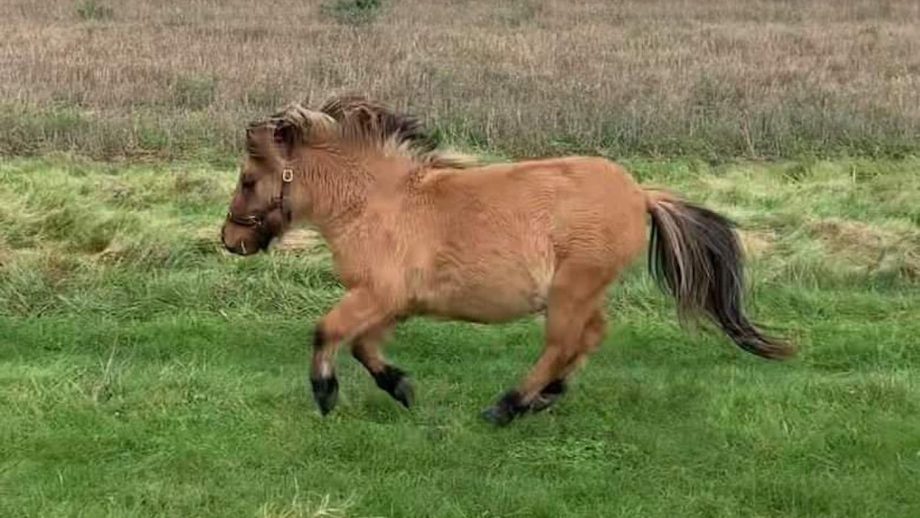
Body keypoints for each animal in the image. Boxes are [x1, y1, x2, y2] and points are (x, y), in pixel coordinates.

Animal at [220, 94, 793, 426]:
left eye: (249, 179)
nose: (229, 239)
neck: (378, 202)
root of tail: (641, 194)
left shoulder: (378, 294)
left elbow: (328, 331)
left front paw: (325, 393)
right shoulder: (392, 303)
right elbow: (364, 345)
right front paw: (401, 386)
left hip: (572, 289)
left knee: (562, 344)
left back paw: (508, 405)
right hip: (584, 291)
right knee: (588, 338)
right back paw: (546, 397)